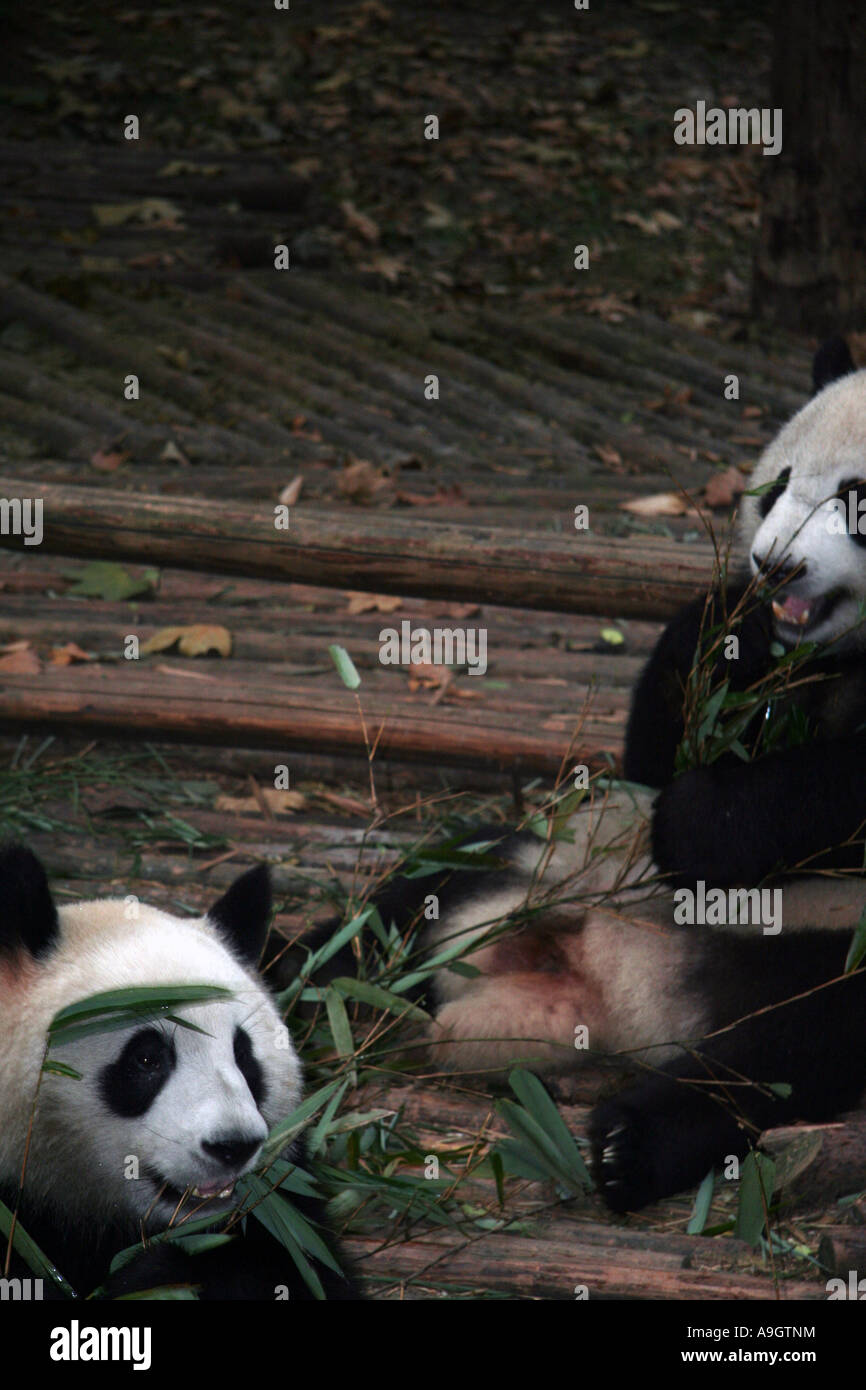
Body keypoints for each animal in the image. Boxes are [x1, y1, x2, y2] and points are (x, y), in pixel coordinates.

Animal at [335, 336, 866, 1213]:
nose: (774, 569)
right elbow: (662, 737)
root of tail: (616, 997)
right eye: (777, 487)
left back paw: (630, 1143)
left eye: (857, 500)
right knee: (400, 915)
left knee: (789, 1047)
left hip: (824, 945)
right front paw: (734, 635)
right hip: (549, 864)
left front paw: (706, 824)